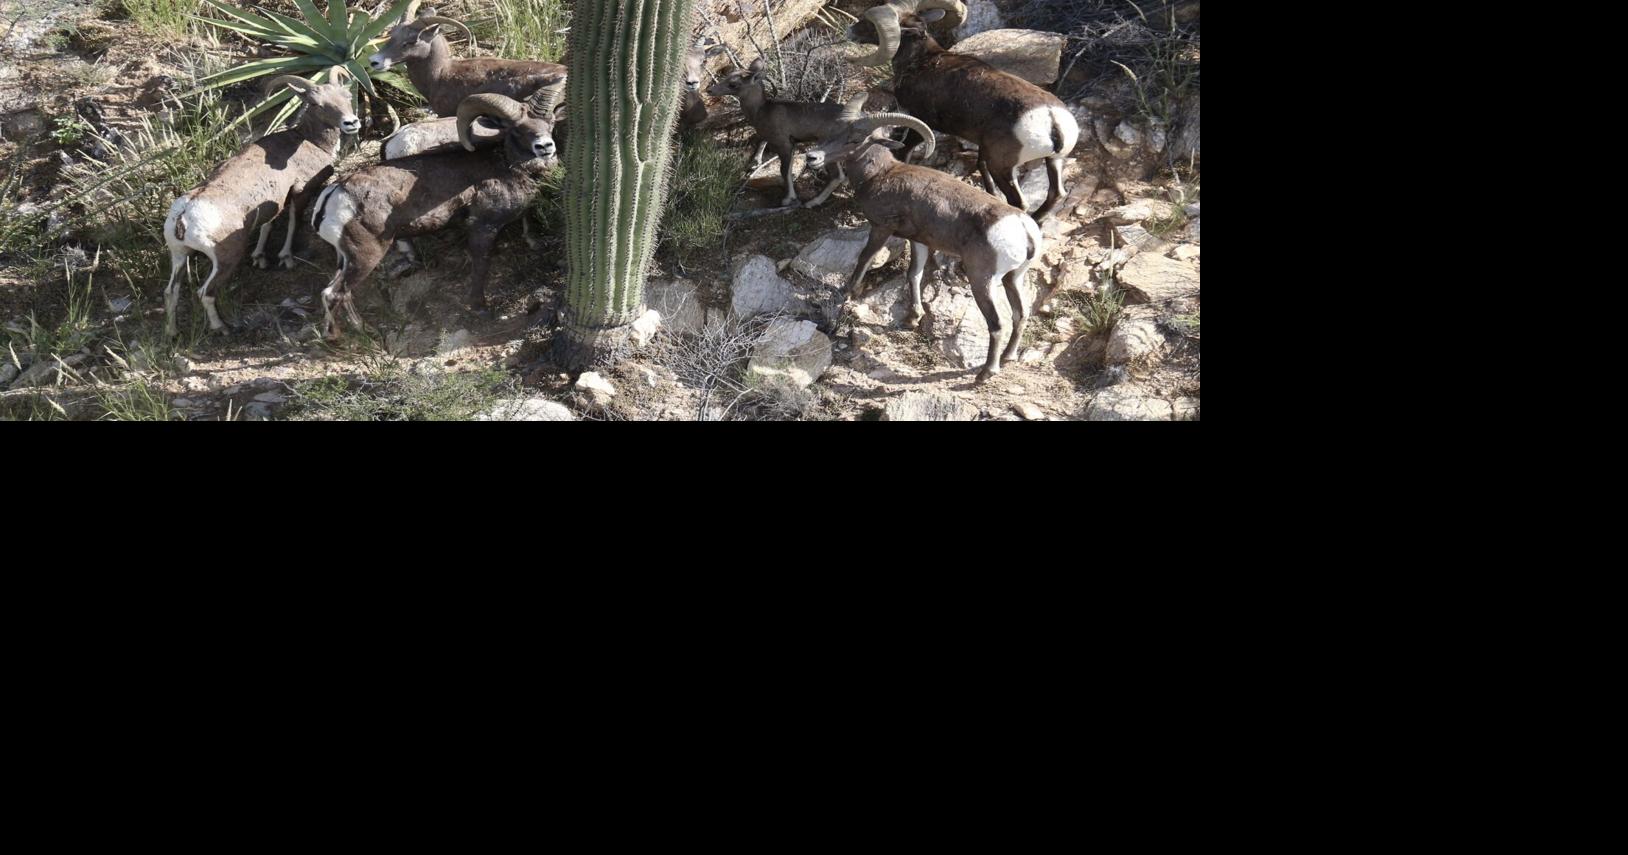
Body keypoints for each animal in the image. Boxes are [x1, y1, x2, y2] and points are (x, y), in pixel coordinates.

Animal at [162, 76, 359, 338]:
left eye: (346, 96)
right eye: (317, 104)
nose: (351, 123)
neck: (306, 141)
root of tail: (184, 216)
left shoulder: (275, 202)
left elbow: (268, 224)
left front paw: (260, 258)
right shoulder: (301, 191)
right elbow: (294, 221)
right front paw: (286, 258)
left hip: (178, 255)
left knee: (171, 292)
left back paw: (172, 333)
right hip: (225, 258)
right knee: (206, 293)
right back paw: (221, 328)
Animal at [311, 83, 564, 341]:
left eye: (551, 123)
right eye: (518, 130)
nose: (545, 147)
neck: (507, 166)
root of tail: (332, 195)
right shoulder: (483, 228)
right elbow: (481, 266)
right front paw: (480, 308)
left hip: (345, 258)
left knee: (336, 291)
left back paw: (363, 330)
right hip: (366, 255)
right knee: (334, 293)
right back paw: (336, 336)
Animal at [707, 59, 852, 207]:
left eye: (733, 84)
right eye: (727, 76)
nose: (709, 90)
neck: (760, 112)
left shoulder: (784, 145)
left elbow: (784, 171)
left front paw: (788, 199)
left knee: (837, 176)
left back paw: (812, 202)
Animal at [804, 95, 1043, 383]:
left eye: (854, 139)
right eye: (833, 132)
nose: (812, 157)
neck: (880, 175)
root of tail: (1024, 229)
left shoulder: (881, 228)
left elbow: (864, 260)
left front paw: (847, 295)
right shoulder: (919, 242)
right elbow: (914, 275)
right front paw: (912, 319)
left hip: (982, 281)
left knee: (997, 324)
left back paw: (985, 373)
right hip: (1013, 278)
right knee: (1021, 314)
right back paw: (1008, 357)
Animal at [834, 0, 1080, 221]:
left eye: (870, 23)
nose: (849, 31)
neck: (921, 62)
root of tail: (1051, 121)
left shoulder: (920, 124)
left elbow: (904, 151)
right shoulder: (982, 148)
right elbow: (981, 167)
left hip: (1004, 168)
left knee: (1019, 203)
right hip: (1054, 161)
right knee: (1056, 194)